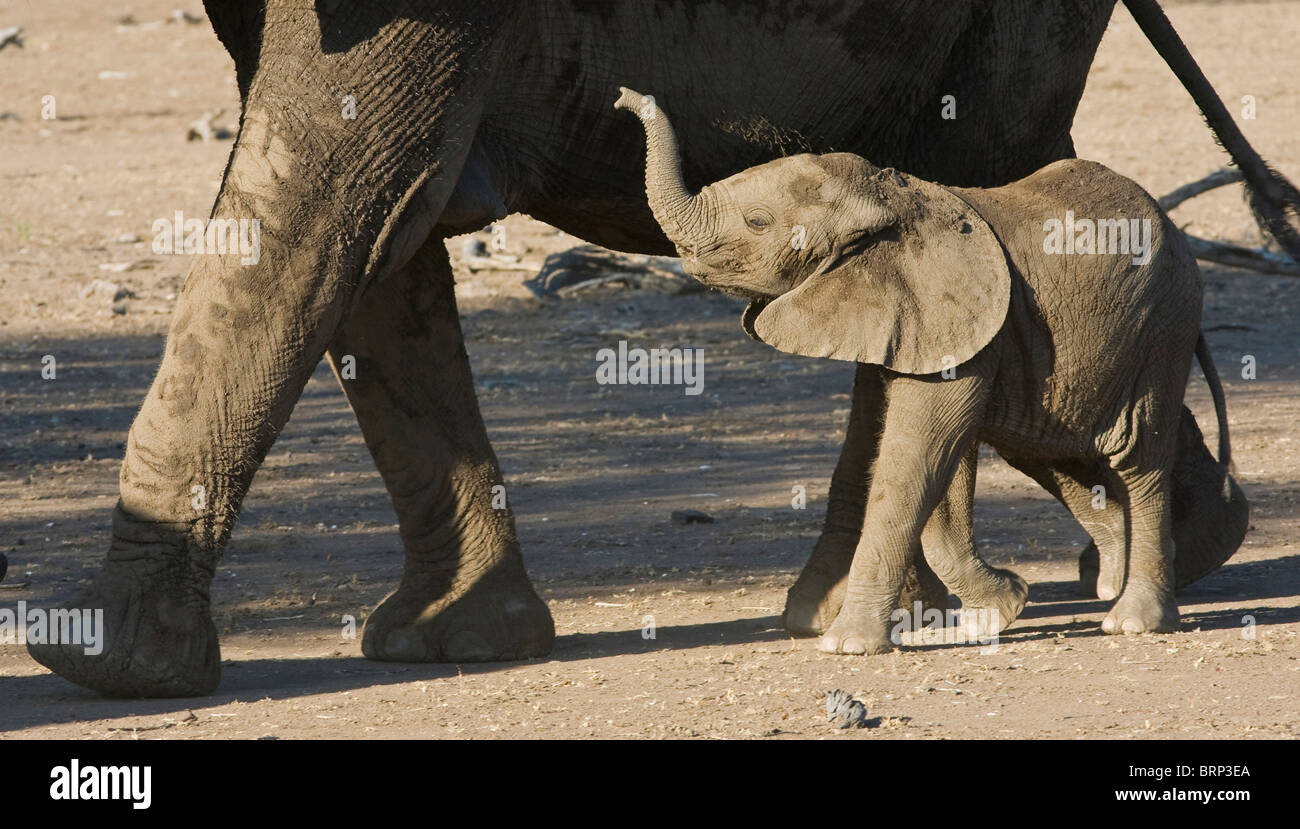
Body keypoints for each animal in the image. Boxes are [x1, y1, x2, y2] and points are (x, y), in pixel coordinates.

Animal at [615, 86, 1236, 652]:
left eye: (757, 221)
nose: (627, 97)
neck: (889, 194)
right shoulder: (904, 317)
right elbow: (910, 454)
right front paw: (993, 611)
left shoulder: (954, 318)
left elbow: (920, 451)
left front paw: (849, 645)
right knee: (1053, 451)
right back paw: (1108, 578)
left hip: (1163, 326)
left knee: (1136, 456)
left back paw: (1132, 619)